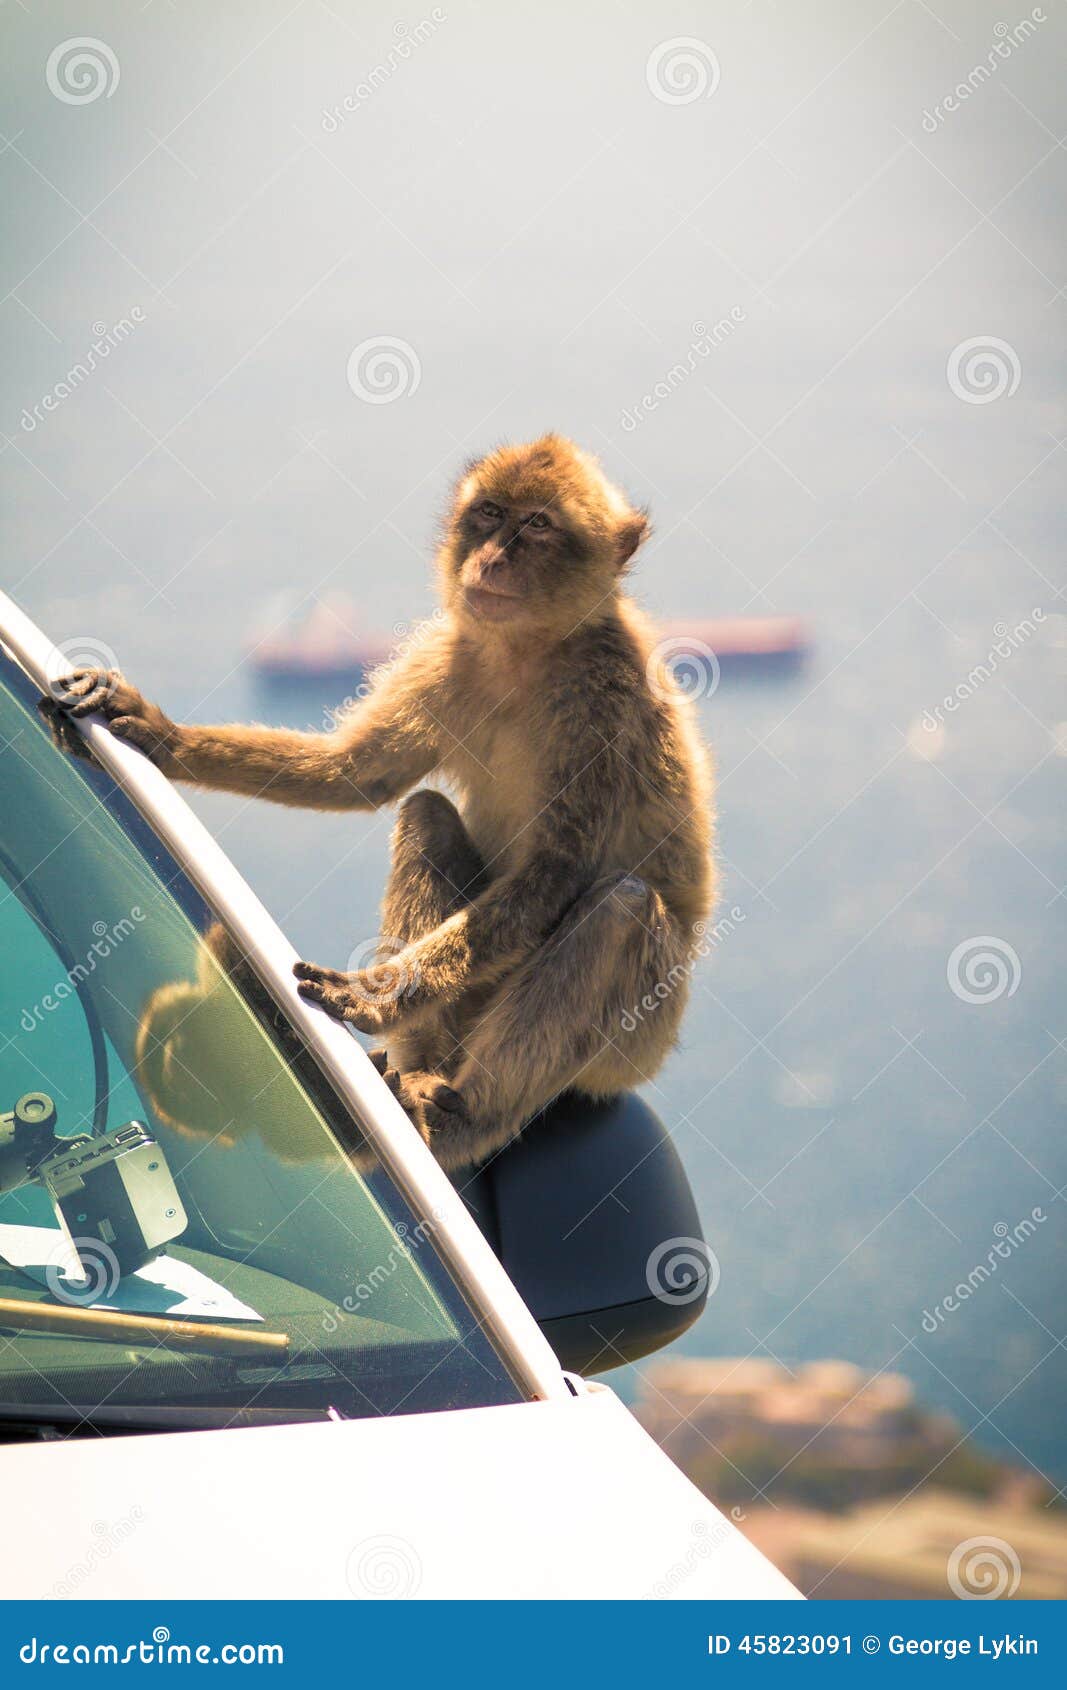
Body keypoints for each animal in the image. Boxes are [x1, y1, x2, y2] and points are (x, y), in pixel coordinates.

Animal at [51, 434, 716, 1173]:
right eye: (490, 513)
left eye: (538, 525)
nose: (493, 557)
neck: (529, 652)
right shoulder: (446, 654)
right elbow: (356, 774)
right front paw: (160, 735)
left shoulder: (604, 694)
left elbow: (557, 871)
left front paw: (369, 999)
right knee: (427, 815)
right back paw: (411, 1077)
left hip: (635, 1042)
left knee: (619, 908)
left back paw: (460, 1123)